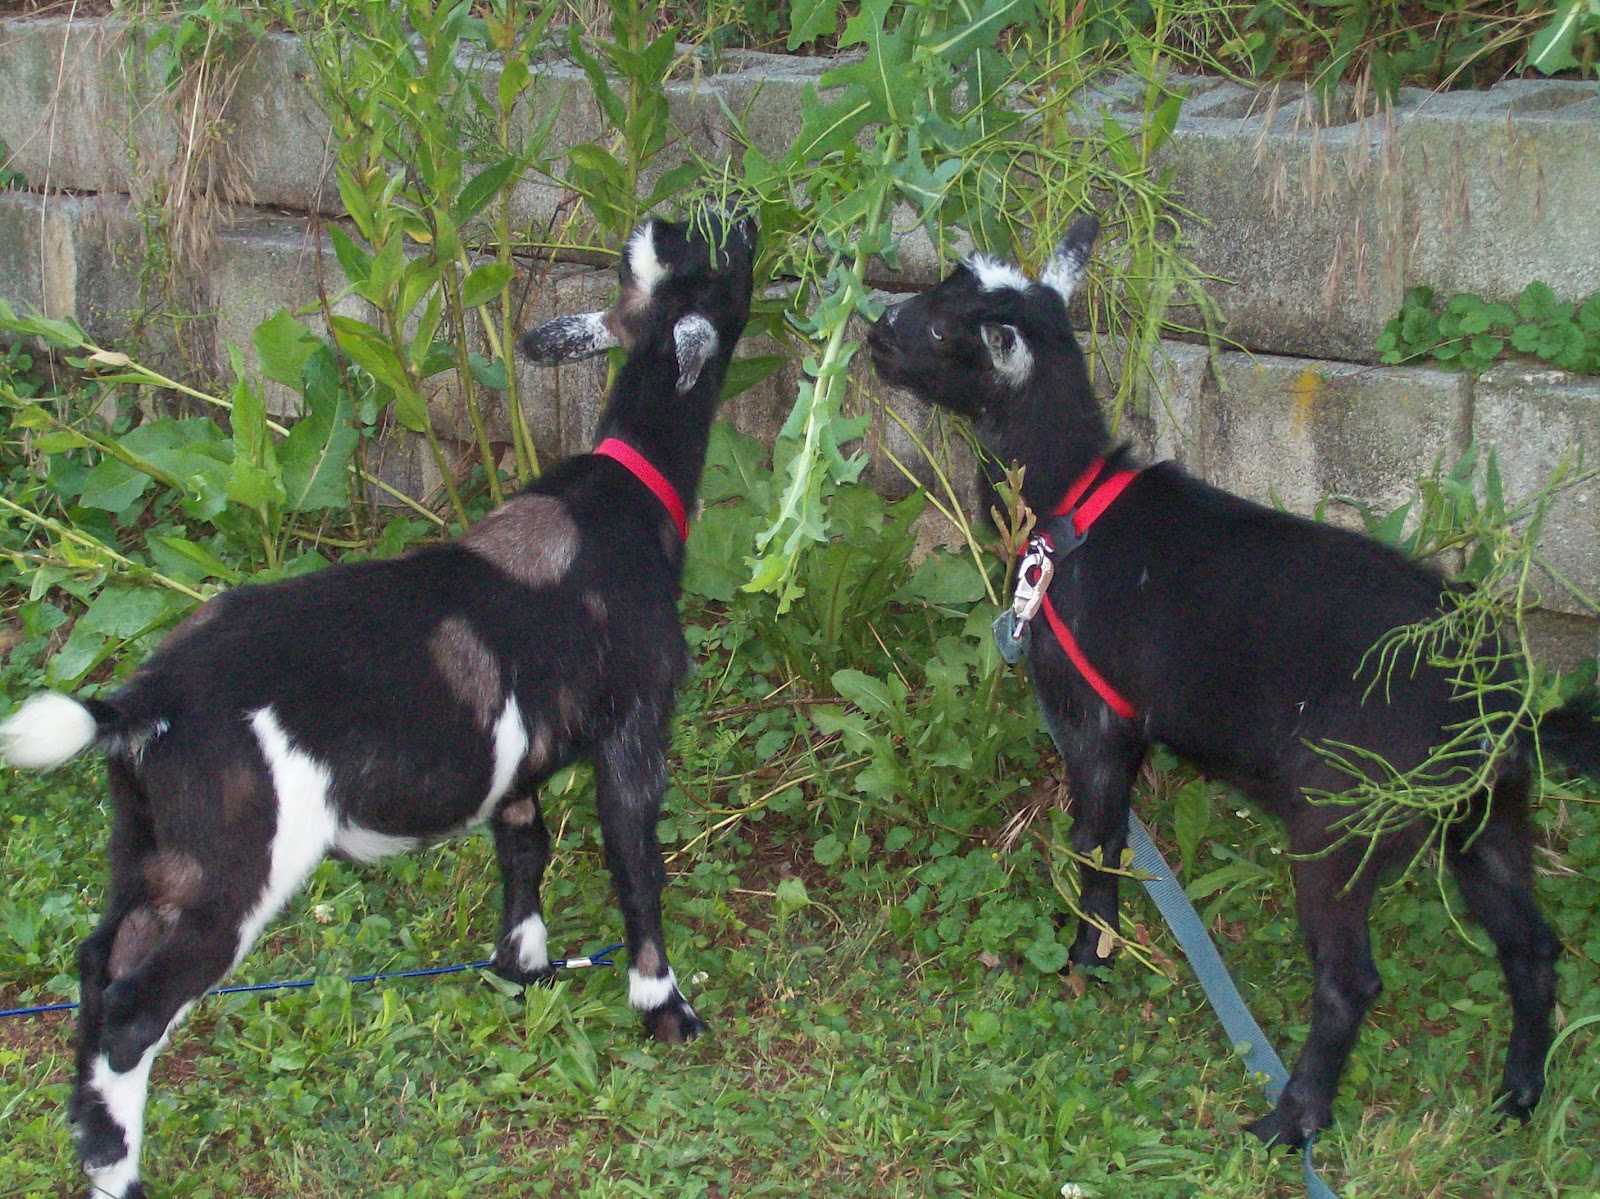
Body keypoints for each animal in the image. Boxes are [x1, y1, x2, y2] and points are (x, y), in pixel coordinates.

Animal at [0, 208, 757, 1199]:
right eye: (723, 252)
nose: (752, 215)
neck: (623, 493)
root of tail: (144, 697)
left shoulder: (516, 757)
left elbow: (525, 849)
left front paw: (523, 967)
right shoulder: (636, 723)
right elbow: (637, 864)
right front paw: (665, 1008)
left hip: (151, 846)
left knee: (97, 967)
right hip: (239, 862)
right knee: (133, 1010)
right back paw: (120, 1174)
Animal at [865, 214, 1598, 1148]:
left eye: (935, 326)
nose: (872, 330)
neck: (1069, 503)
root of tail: (1500, 700)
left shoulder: (1094, 719)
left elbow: (1095, 842)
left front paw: (1084, 958)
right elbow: (1115, 843)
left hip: (1340, 821)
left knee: (1352, 978)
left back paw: (1291, 1120)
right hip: (1483, 816)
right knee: (1530, 946)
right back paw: (1518, 1093)